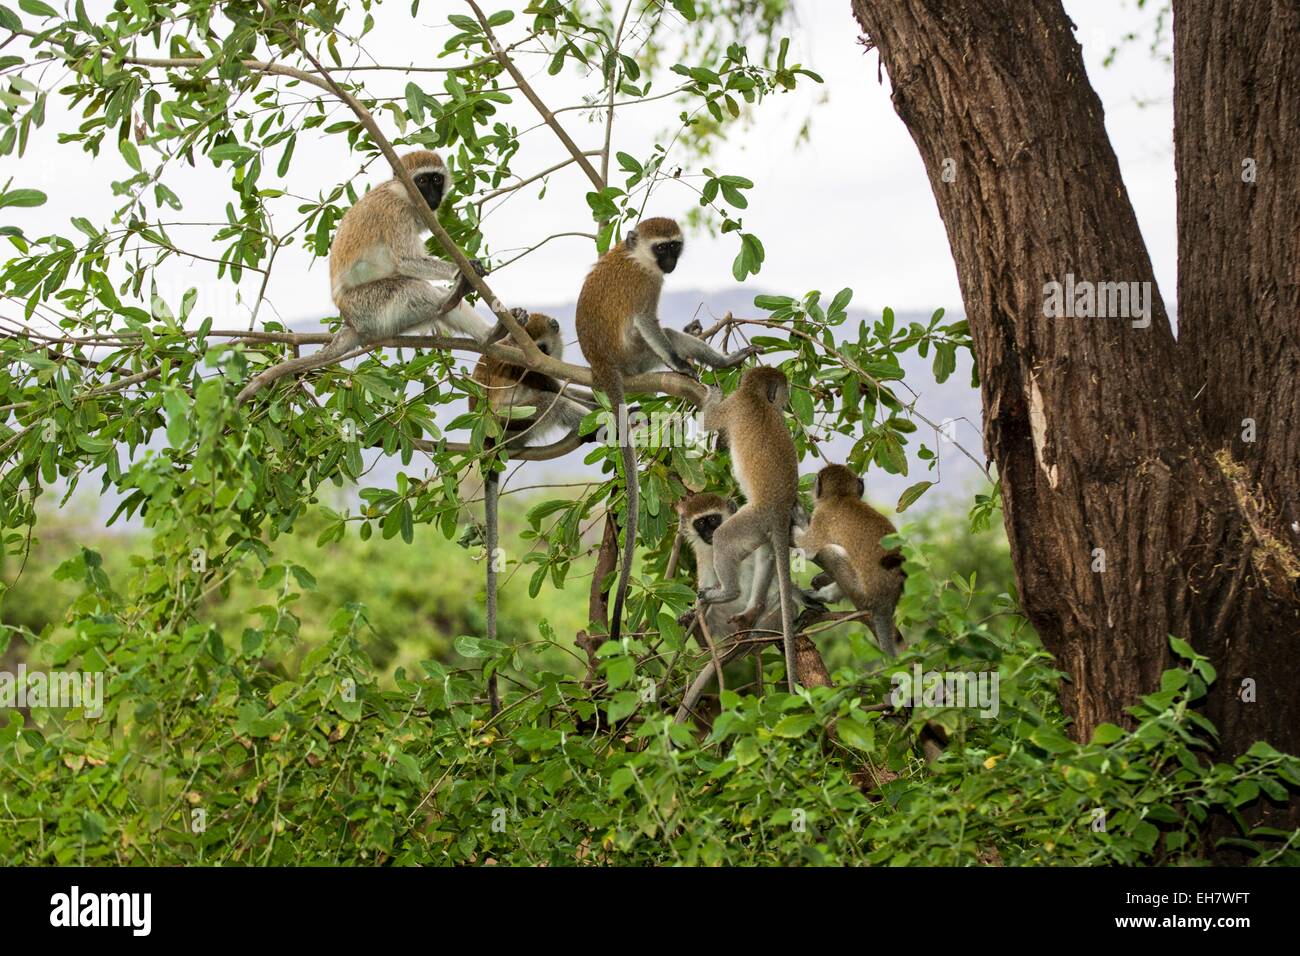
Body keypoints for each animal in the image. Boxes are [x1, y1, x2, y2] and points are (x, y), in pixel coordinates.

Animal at [237, 150, 502, 403]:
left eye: (436, 179)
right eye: (421, 180)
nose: (432, 197)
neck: (401, 192)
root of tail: (350, 321)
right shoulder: (396, 212)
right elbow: (405, 261)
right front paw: (464, 268)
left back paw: (489, 336)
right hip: (367, 306)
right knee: (411, 288)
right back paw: (451, 298)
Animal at [575, 216, 755, 644]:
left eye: (674, 246)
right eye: (663, 249)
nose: (670, 262)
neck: (634, 254)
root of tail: (601, 364)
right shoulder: (647, 284)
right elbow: (647, 321)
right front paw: (682, 363)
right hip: (636, 358)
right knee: (665, 334)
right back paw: (709, 363)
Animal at [695, 366, 801, 692]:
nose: (785, 401)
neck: (755, 397)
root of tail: (781, 511)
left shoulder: (735, 405)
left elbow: (709, 421)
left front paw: (712, 392)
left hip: (751, 519)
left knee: (723, 538)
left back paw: (728, 592)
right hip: (759, 527)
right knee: (765, 551)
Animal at [793, 463, 906, 657]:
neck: (841, 497)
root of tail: (886, 602)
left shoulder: (821, 517)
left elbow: (807, 548)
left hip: (860, 592)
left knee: (831, 551)